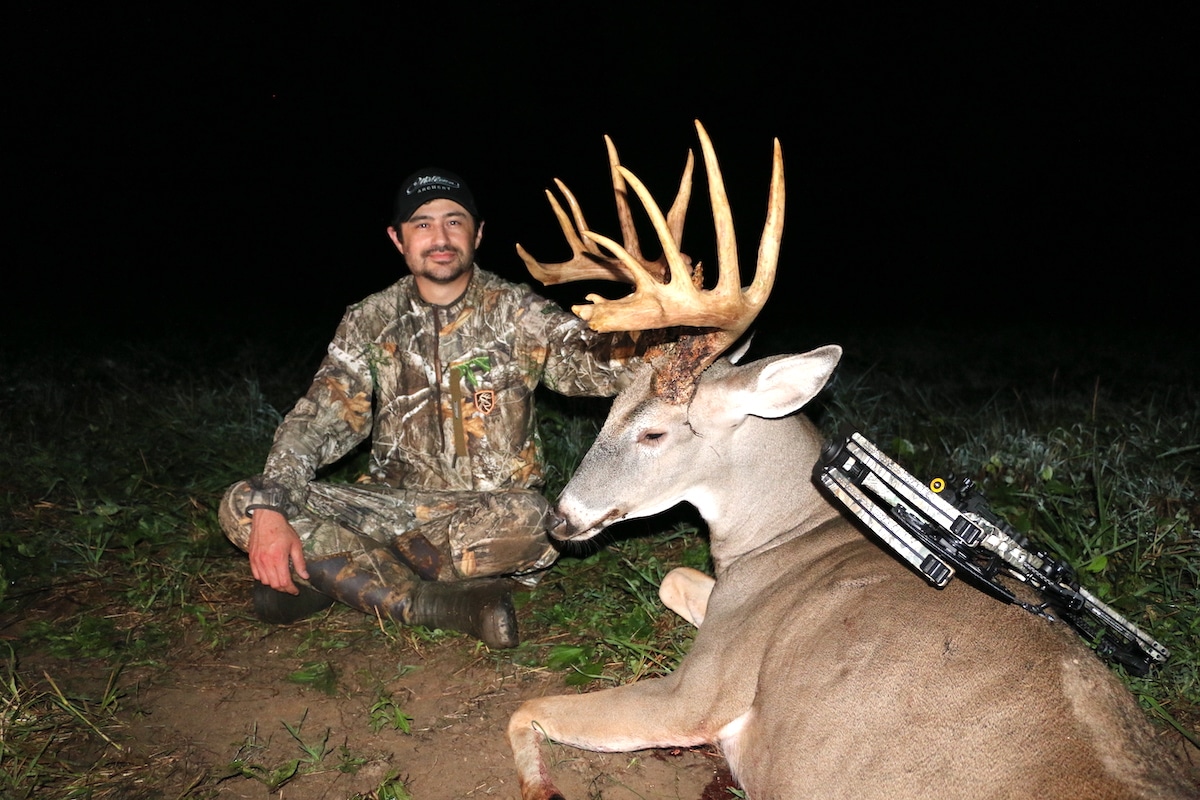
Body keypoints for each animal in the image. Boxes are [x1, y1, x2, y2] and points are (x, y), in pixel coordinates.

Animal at [505, 120, 1196, 799]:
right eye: (610, 408)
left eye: (652, 433)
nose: (558, 520)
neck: (780, 537)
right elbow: (674, 575)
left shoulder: (697, 691)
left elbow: (524, 709)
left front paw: (540, 784)